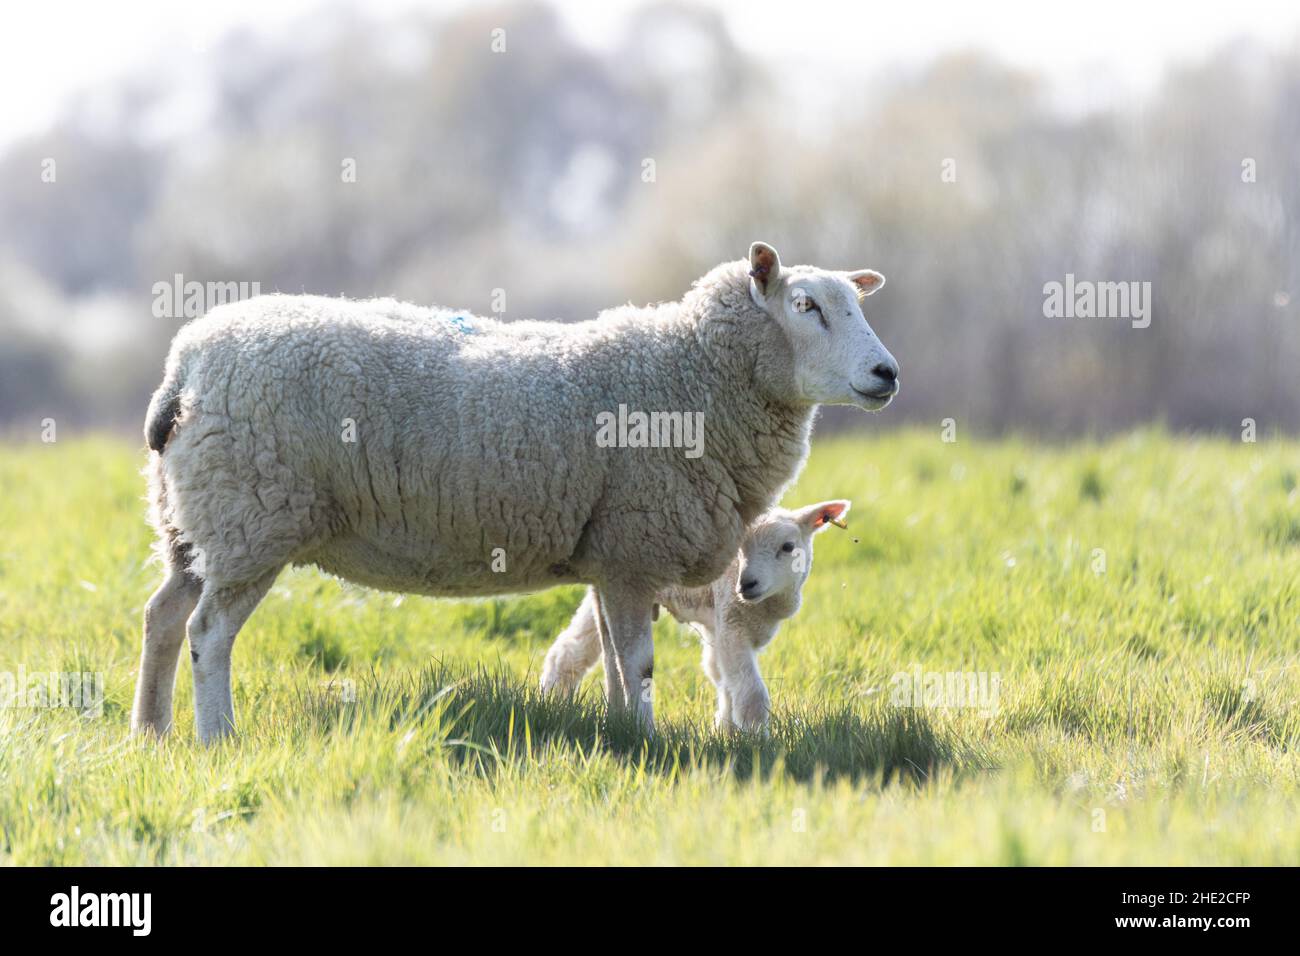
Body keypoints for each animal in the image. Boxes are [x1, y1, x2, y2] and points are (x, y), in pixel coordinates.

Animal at [540, 500, 850, 732]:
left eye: (787, 546)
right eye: (738, 547)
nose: (747, 584)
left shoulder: (724, 622)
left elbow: (723, 677)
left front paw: (726, 730)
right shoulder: (731, 622)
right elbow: (750, 692)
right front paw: (757, 738)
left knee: (570, 646)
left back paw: (554, 697)